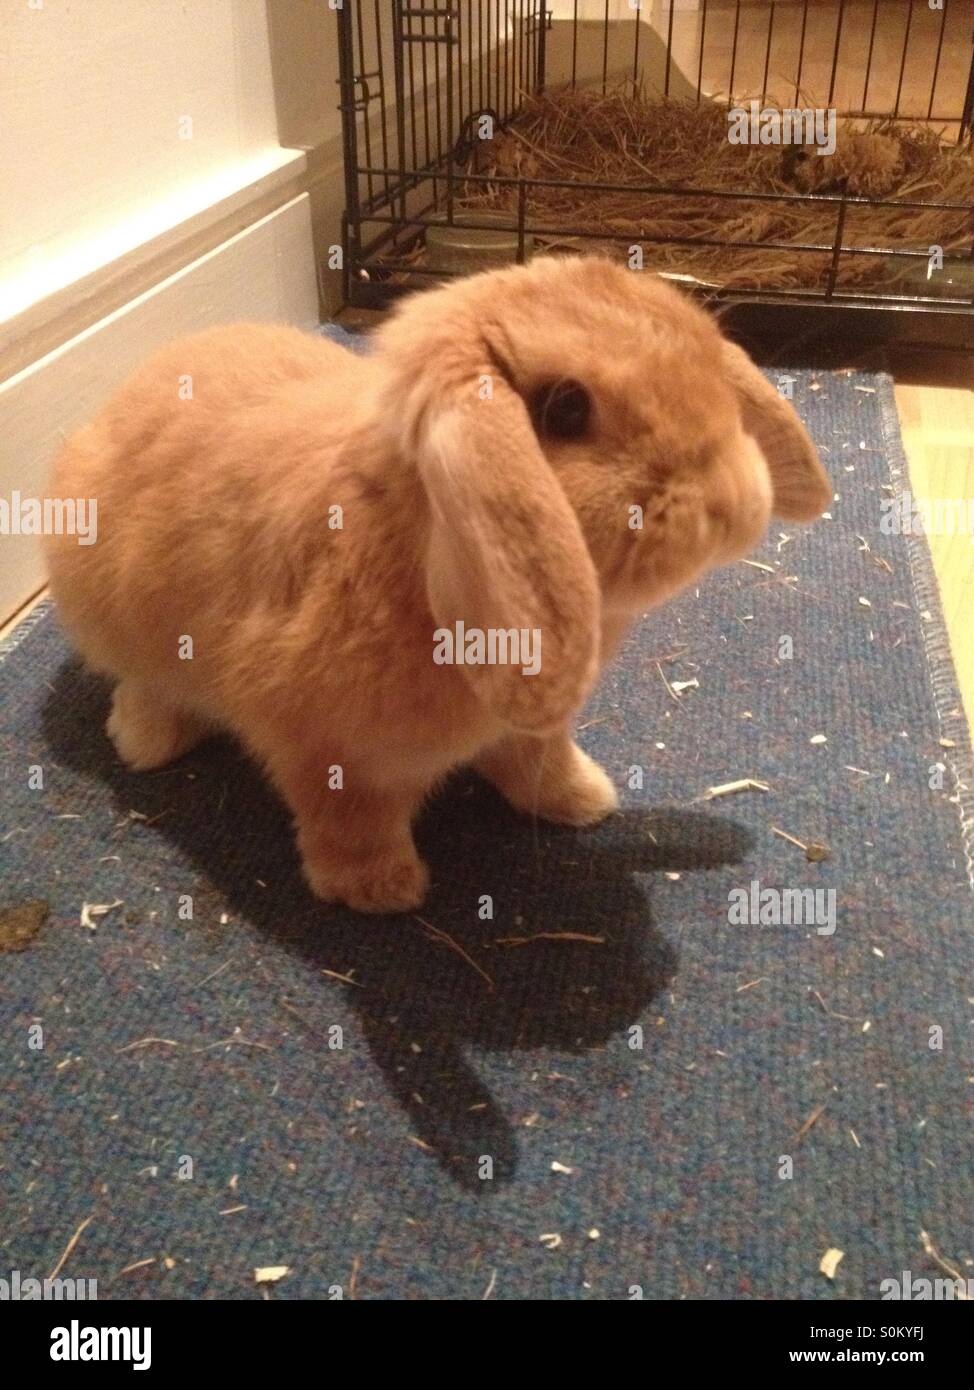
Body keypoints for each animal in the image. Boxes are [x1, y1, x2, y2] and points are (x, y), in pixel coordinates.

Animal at [44, 255, 830, 913]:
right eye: (566, 409)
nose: (736, 502)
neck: (417, 546)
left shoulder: (527, 732)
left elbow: (538, 764)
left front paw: (586, 801)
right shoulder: (332, 759)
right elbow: (350, 824)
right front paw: (382, 892)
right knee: (144, 687)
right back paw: (144, 742)